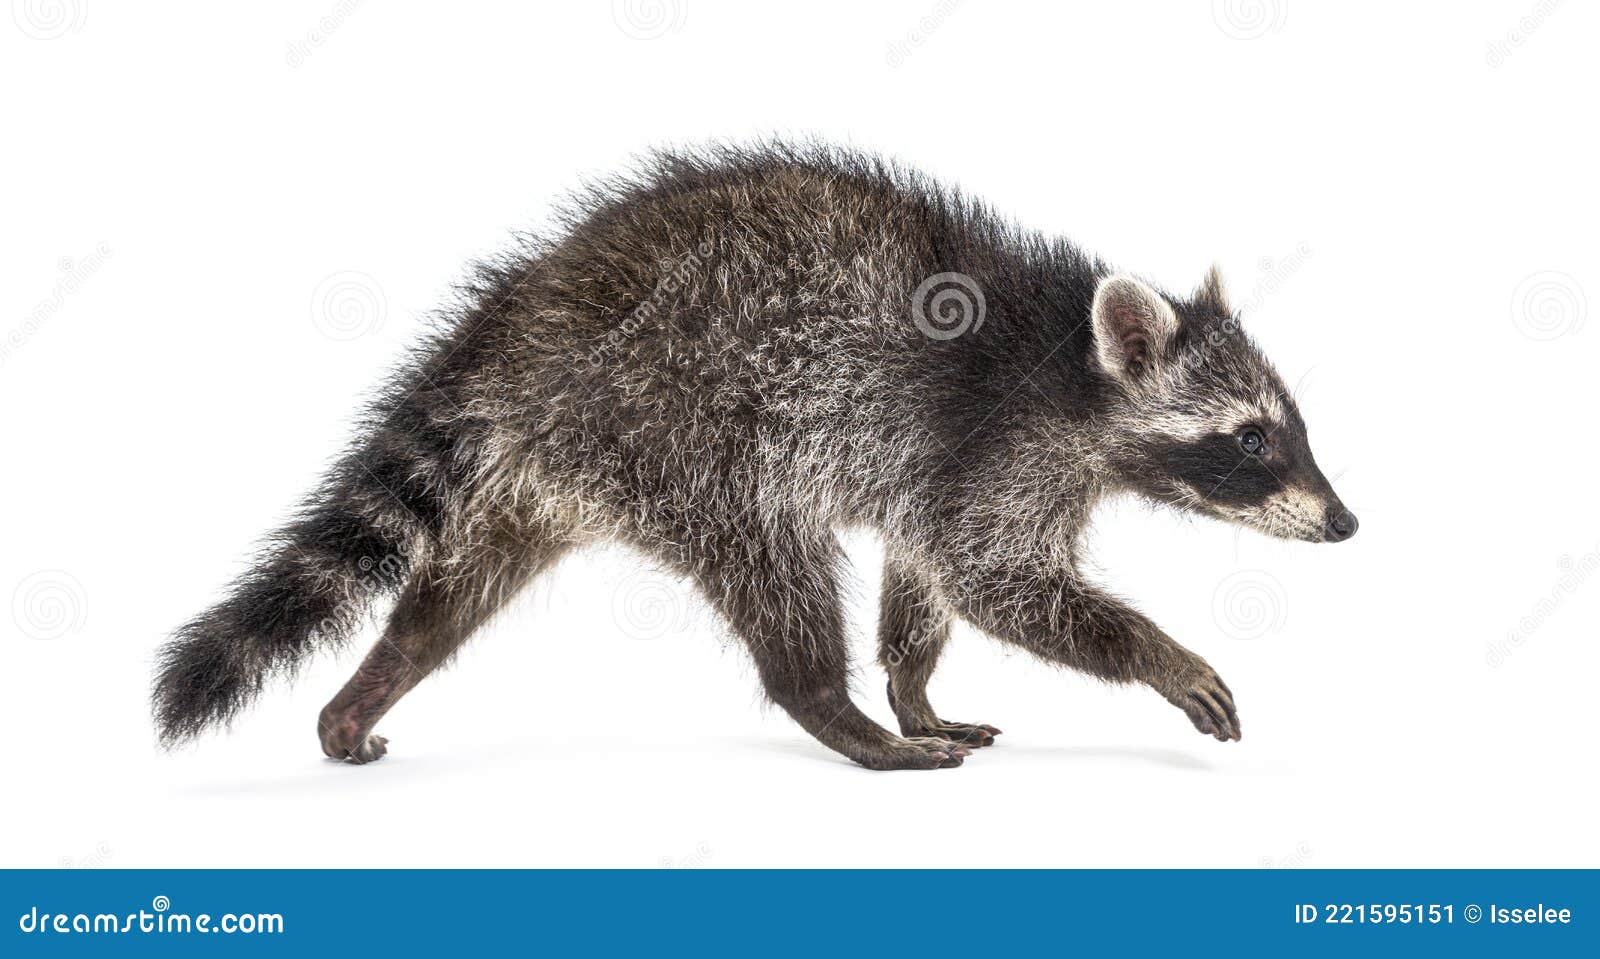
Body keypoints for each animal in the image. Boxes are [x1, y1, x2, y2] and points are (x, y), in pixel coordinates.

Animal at [153, 143, 1356, 770]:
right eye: (1251, 437)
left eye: (1291, 427)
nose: (1344, 521)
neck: (1071, 365)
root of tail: (520, 311)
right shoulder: (995, 450)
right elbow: (998, 580)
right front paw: (1157, 653)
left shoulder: (950, 471)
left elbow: (929, 576)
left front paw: (913, 684)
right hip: (683, 426)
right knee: (773, 564)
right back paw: (836, 713)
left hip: (566, 456)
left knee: (457, 585)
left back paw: (376, 678)